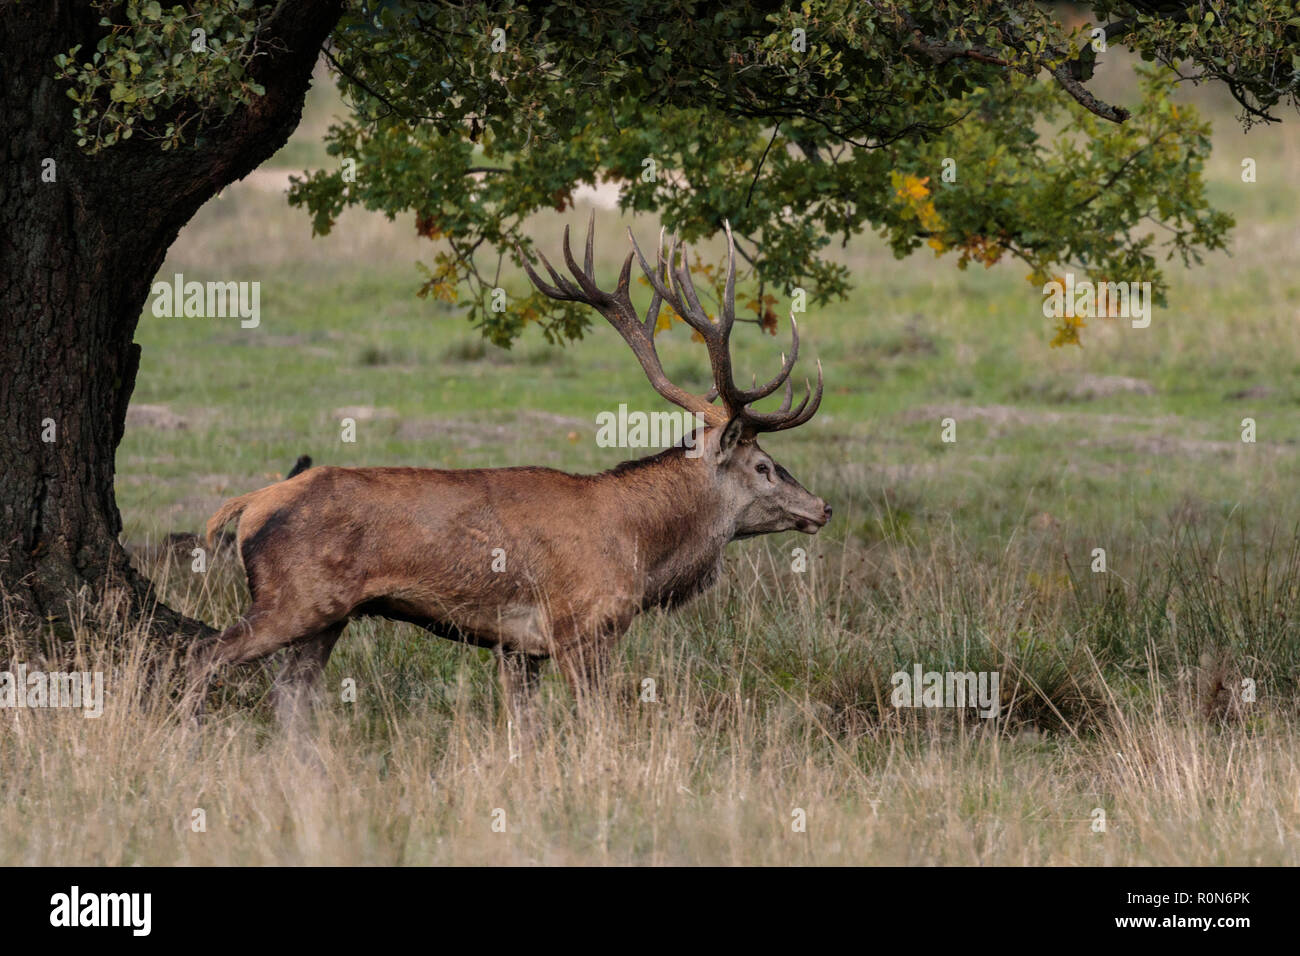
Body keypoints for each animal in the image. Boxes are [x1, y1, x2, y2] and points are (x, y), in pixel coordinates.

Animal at [187, 216, 830, 728]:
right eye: (765, 467)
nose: (822, 507)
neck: (644, 550)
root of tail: (250, 505)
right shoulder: (579, 627)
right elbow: (595, 723)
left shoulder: (521, 650)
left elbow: (526, 730)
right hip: (292, 598)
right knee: (204, 656)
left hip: (326, 617)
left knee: (290, 693)